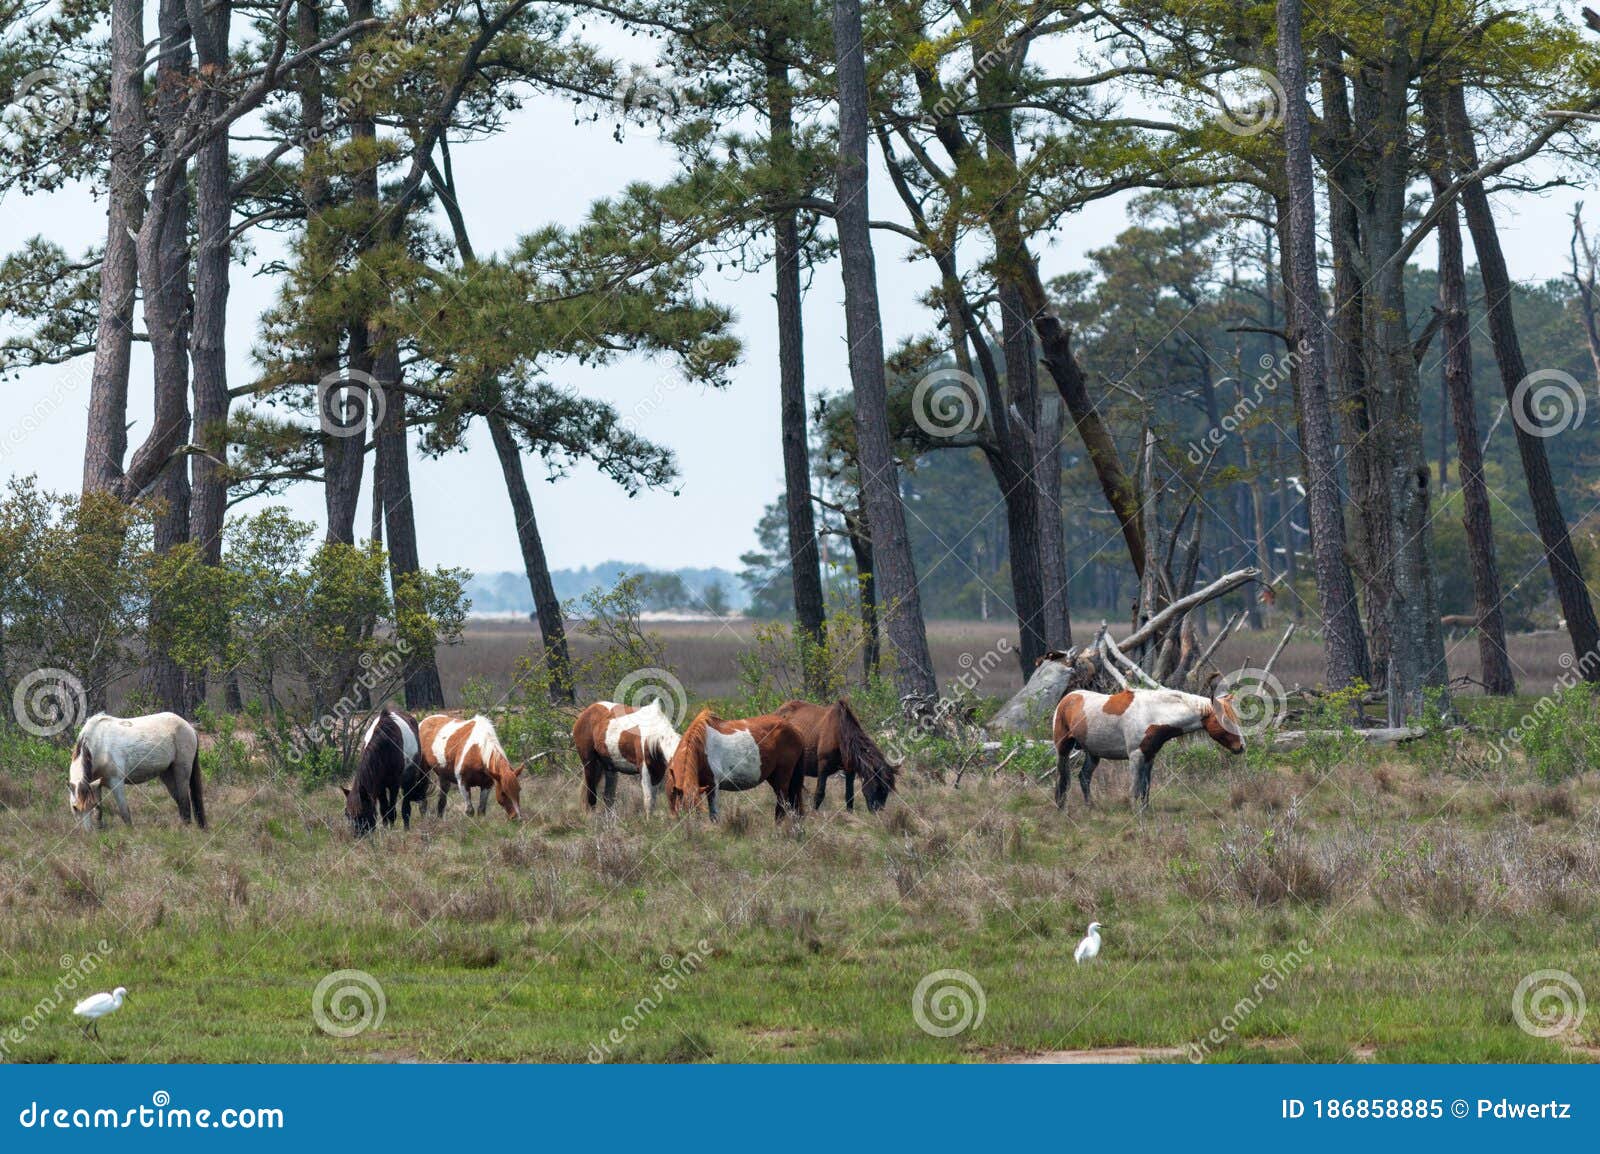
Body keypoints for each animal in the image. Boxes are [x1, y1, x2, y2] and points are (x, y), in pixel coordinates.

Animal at [68, 712, 205, 830]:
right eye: (75, 807)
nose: (88, 833)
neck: (97, 745)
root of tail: (189, 727)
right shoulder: (95, 785)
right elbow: (99, 813)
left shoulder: (116, 783)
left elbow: (125, 813)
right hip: (167, 774)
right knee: (179, 801)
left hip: (181, 771)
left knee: (184, 801)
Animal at [342, 707, 427, 835]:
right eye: (347, 814)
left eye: (362, 812)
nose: (357, 835)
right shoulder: (379, 785)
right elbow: (383, 809)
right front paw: (386, 827)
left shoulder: (394, 784)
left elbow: (391, 810)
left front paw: (391, 829)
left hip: (409, 778)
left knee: (406, 804)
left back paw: (406, 826)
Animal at [667, 709, 805, 823]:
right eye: (681, 813)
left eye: (697, 813)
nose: (691, 833)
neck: (701, 747)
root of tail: (794, 728)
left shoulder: (713, 786)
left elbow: (714, 816)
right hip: (773, 777)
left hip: (783, 776)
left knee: (782, 804)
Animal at [1052, 687, 1242, 808]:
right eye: (1225, 720)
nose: (1241, 747)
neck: (1151, 713)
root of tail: (1067, 698)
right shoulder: (1136, 756)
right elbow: (1135, 789)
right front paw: (1136, 814)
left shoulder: (1150, 756)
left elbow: (1145, 788)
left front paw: (1145, 811)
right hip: (1063, 749)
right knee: (1062, 779)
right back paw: (1061, 807)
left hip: (1093, 753)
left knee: (1084, 777)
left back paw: (1090, 806)